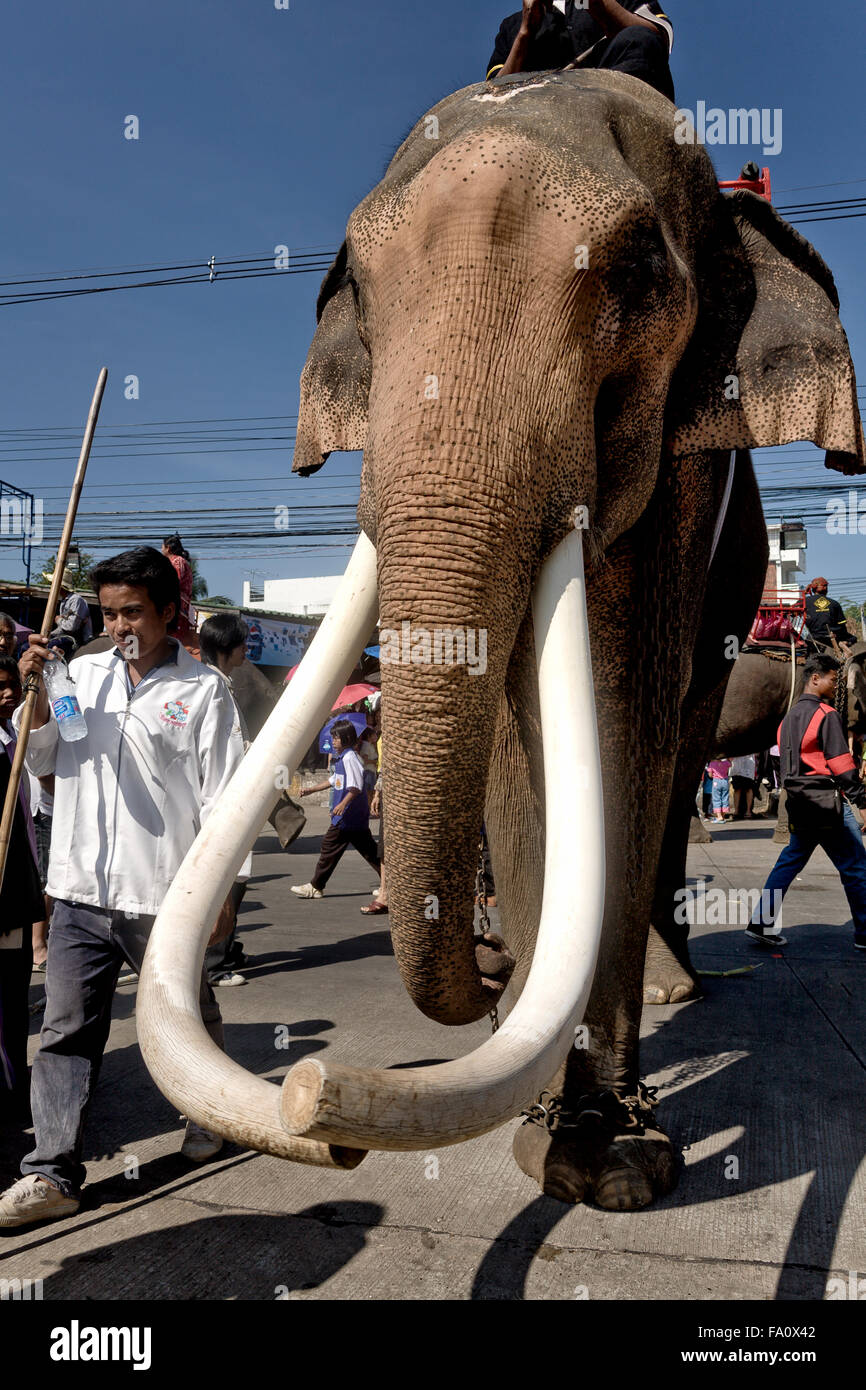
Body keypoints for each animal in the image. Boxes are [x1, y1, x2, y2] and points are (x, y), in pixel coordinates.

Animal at [137, 69, 864, 1211]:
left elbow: (619, 727)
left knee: (675, 754)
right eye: (359, 287)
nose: (307, 1094)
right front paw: (556, 1128)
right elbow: (524, 767)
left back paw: (671, 982)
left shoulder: (685, 473)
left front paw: (609, 1155)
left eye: (637, 268)